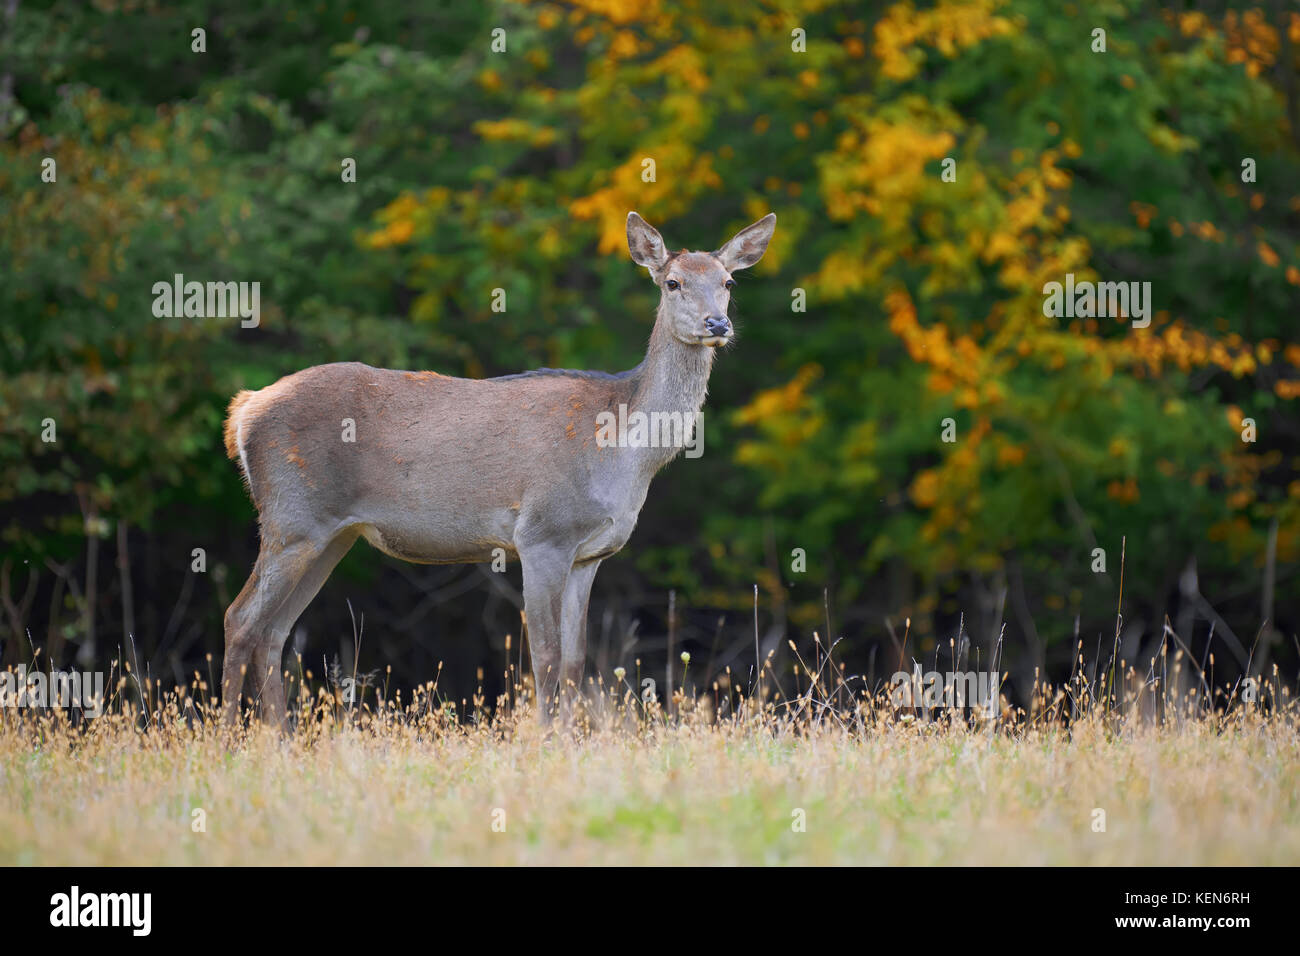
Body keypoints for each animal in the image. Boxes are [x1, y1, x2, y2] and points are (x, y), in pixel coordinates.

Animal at [220, 210, 776, 726]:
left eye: (727, 282)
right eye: (673, 282)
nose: (717, 325)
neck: (623, 454)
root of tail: (243, 411)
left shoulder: (590, 554)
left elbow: (575, 661)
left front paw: (569, 741)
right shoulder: (542, 533)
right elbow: (546, 658)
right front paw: (544, 740)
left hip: (332, 534)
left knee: (274, 631)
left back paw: (279, 738)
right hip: (292, 517)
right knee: (240, 618)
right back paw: (228, 738)